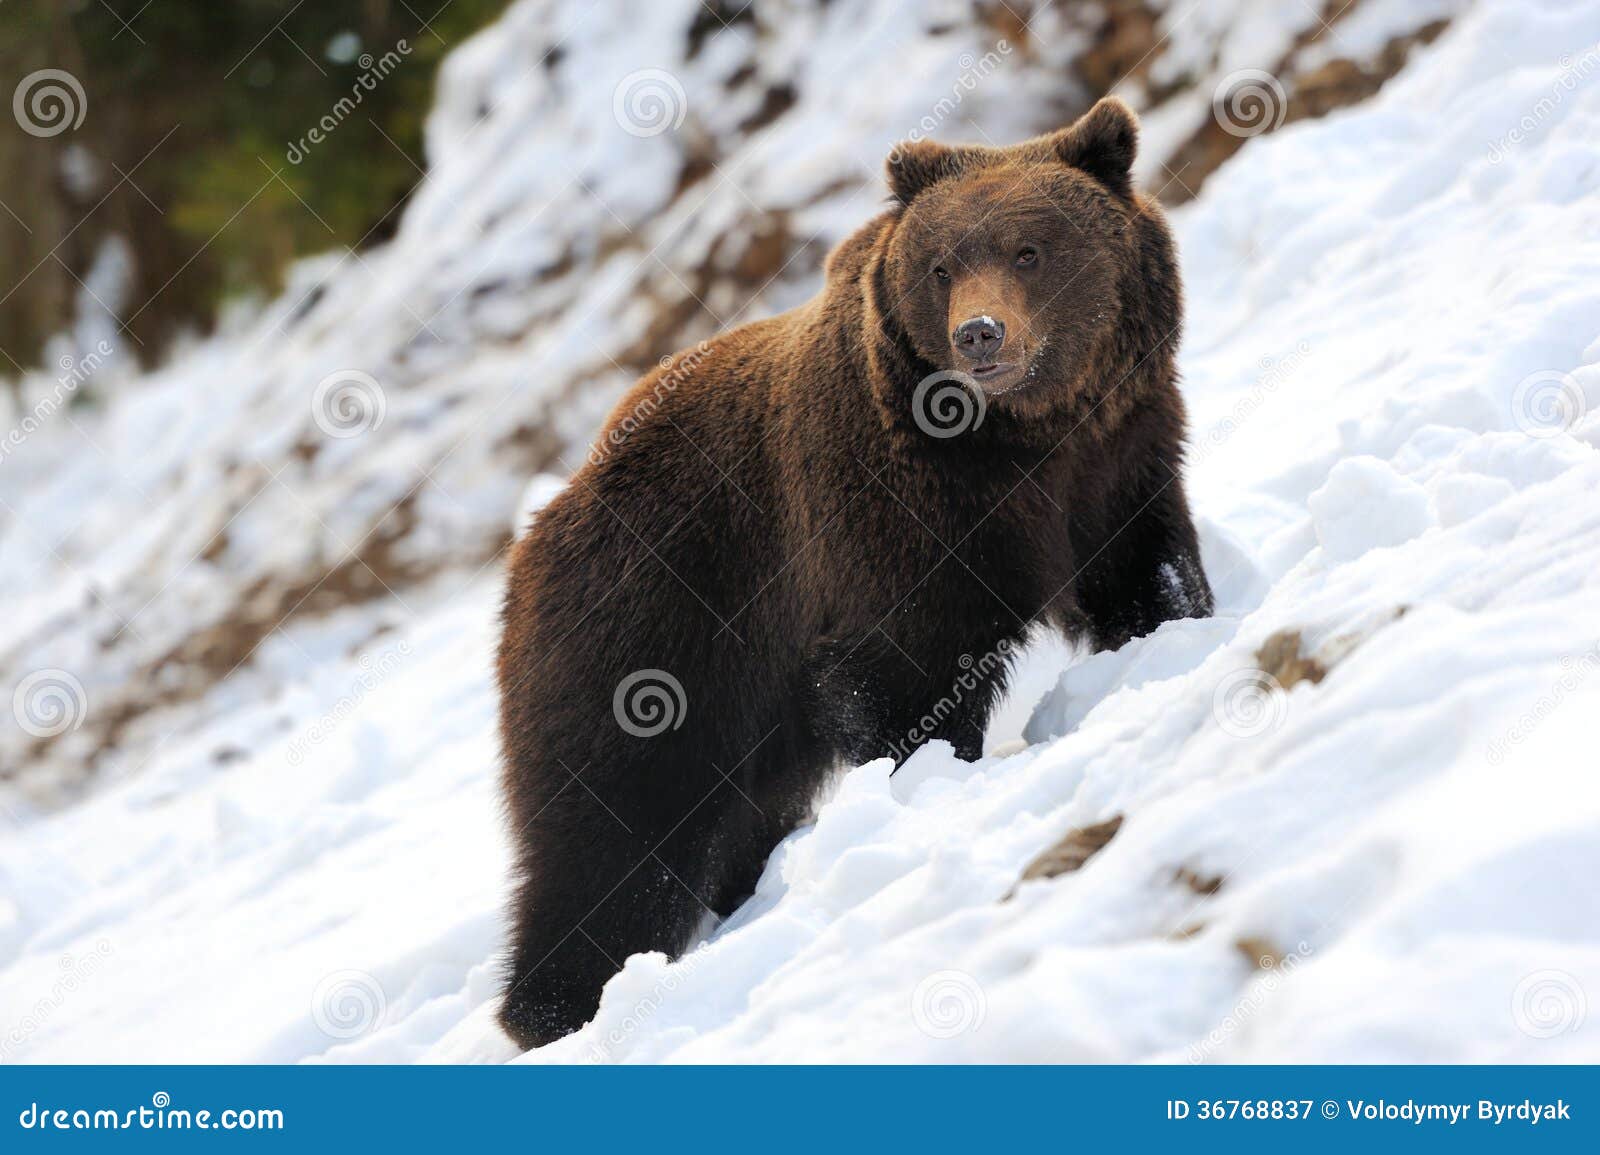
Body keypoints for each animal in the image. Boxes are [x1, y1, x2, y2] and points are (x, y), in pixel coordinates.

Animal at [495, 96, 1213, 1049]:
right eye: (942, 265)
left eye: (1030, 248)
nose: (979, 333)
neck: (1025, 438)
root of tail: (533, 535)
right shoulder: (895, 515)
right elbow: (908, 670)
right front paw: (934, 780)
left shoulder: (1118, 457)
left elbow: (1145, 572)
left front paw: (1174, 631)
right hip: (645, 639)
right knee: (609, 836)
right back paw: (558, 1005)